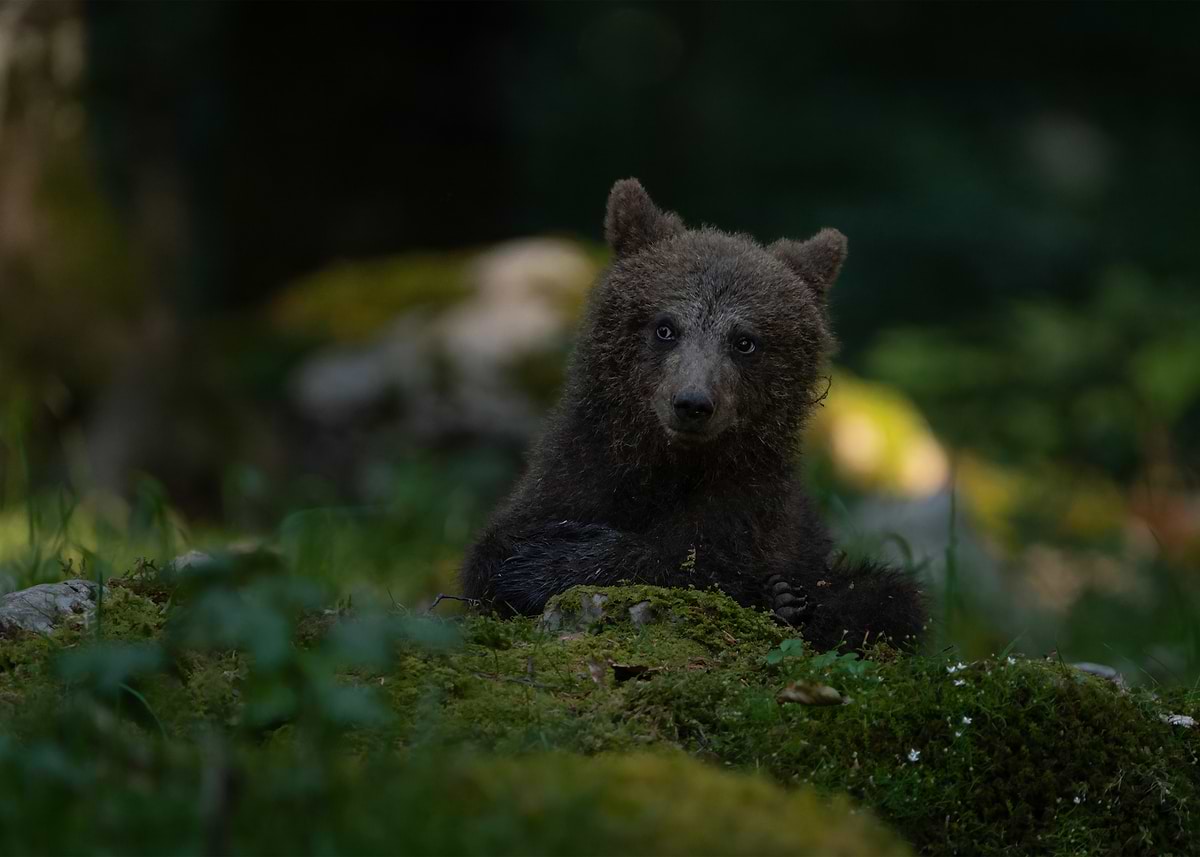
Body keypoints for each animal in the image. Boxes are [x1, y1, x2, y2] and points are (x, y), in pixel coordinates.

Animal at [461, 178, 925, 652]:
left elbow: (706, 558)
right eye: (665, 327)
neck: (672, 464)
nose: (692, 403)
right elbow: (495, 552)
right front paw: (530, 563)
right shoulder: (578, 471)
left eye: (745, 341)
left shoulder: (756, 505)